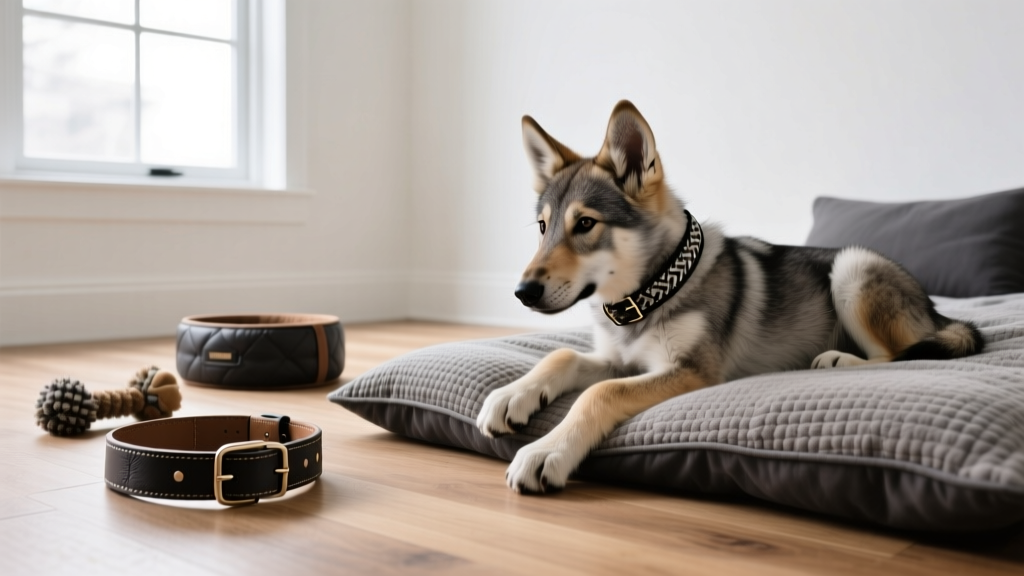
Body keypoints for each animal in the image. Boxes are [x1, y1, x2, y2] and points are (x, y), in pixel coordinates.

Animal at [475, 100, 983, 494]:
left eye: (585, 224)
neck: (650, 294)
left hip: (852, 267)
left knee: (898, 354)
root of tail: (934, 310)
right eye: (543, 227)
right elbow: (561, 356)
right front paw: (511, 395)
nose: (522, 292)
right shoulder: (619, 358)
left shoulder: (691, 371)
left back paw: (839, 360)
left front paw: (547, 450)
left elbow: (600, 392)